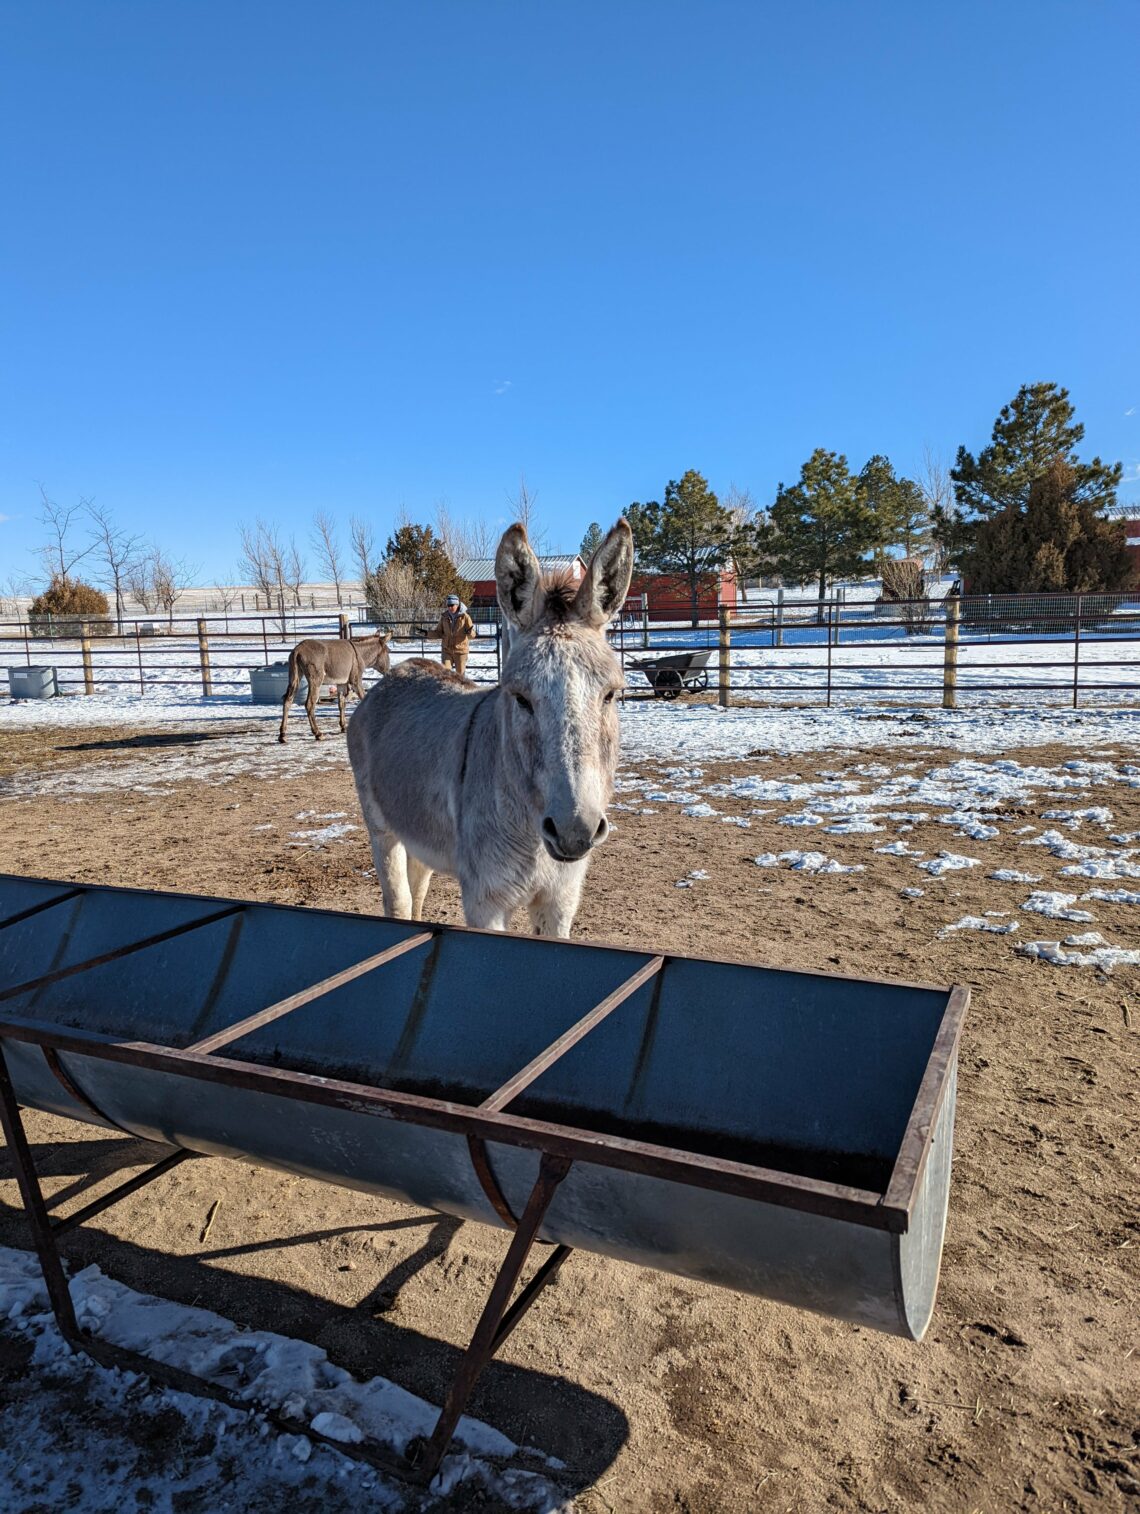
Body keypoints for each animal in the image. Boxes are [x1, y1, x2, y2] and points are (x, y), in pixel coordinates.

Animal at [347, 520, 633, 935]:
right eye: (520, 697)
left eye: (610, 694)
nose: (573, 831)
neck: (530, 832)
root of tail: (401, 670)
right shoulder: (485, 903)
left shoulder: (560, 901)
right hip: (381, 830)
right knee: (398, 901)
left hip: (418, 833)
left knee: (417, 893)